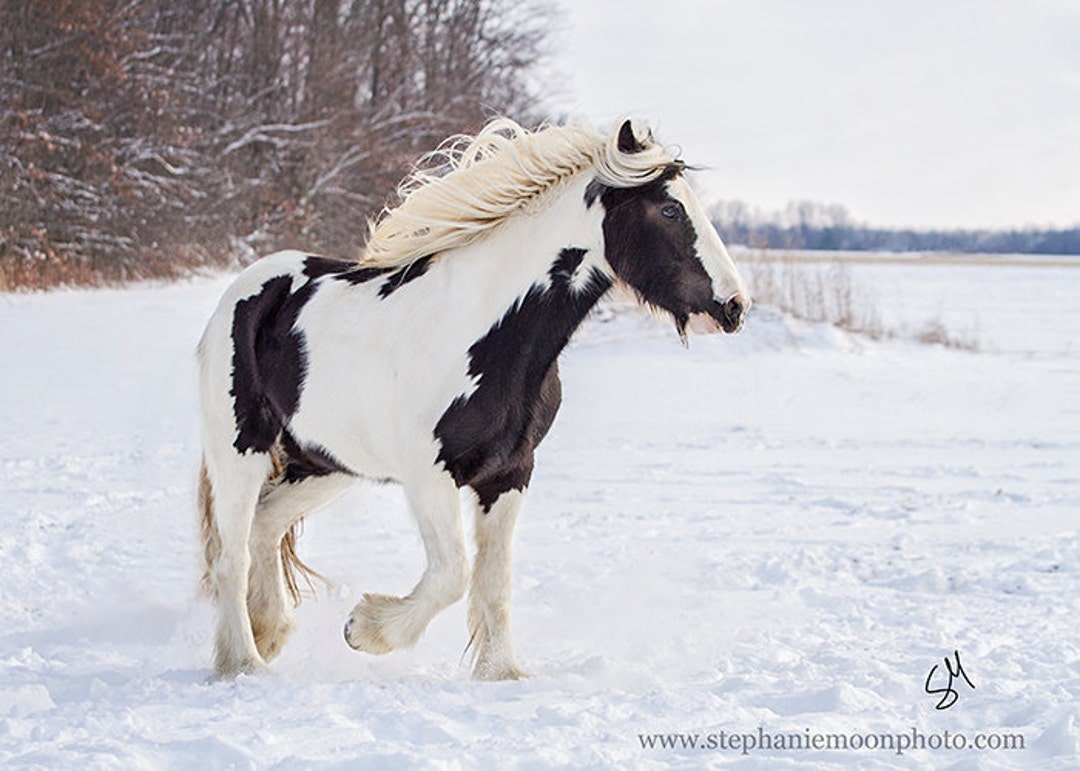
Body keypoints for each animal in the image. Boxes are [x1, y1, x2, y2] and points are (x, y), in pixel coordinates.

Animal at [197, 117, 749, 680]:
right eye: (669, 210)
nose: (734, 307)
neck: (484, 331)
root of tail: (248, 290)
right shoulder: (429, 475)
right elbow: (453, 574)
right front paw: (365, 629)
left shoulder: (509, 473)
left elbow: (493, 582)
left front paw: (500, 672)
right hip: (241, 449)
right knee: (231, 556)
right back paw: (244, 663)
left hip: (327, 464)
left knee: (266, 525)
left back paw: (269, 633)